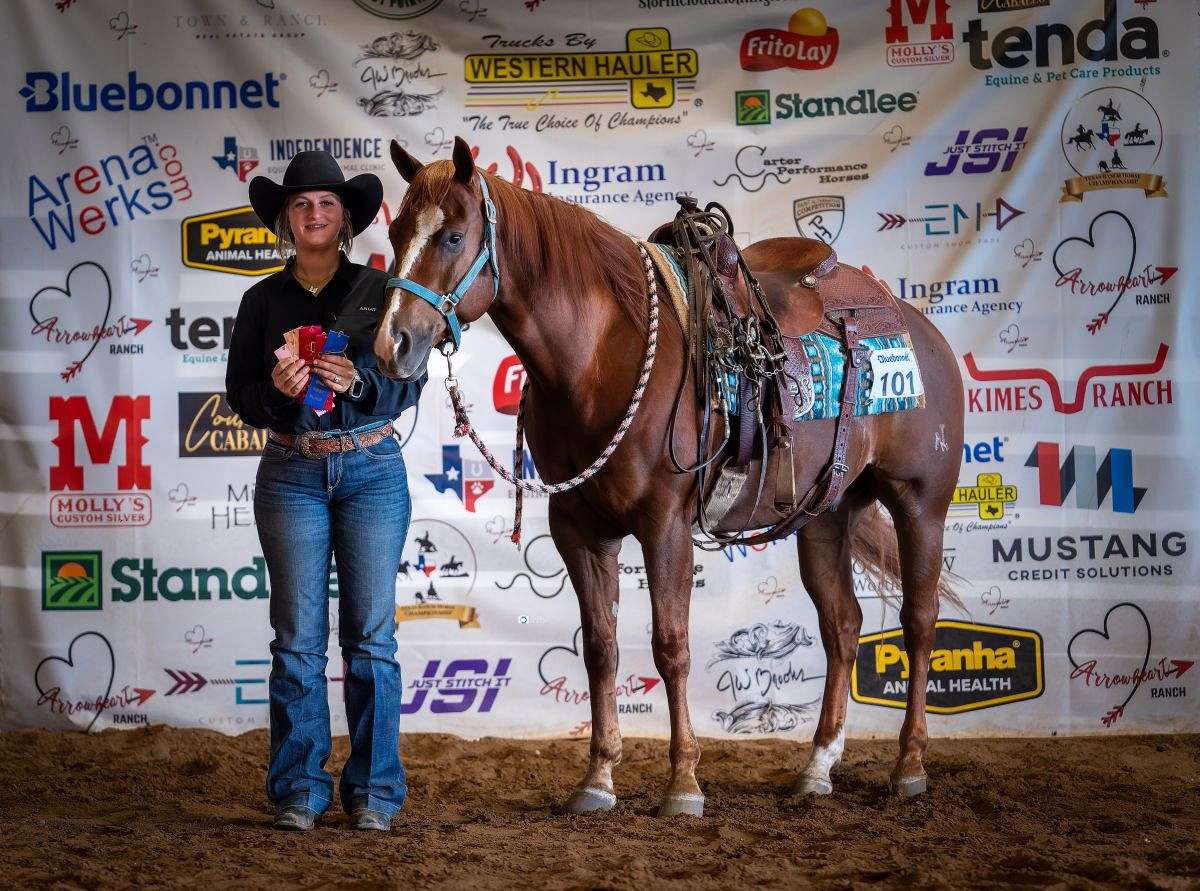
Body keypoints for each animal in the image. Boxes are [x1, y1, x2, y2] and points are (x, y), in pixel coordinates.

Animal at [374, 137, 964, 816]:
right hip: (826, 513)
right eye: (395, 232)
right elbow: (601, 647)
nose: (392, 343)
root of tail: (916, 325)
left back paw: (909, 765)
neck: (600, 354)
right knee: (842, 627)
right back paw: (817, 766)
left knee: (919, 622)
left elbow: (671, 644)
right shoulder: (577, 528)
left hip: (921, 503)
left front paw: (683, 782)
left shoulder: (666, 525)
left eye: (452, 237)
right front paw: (598, 777)